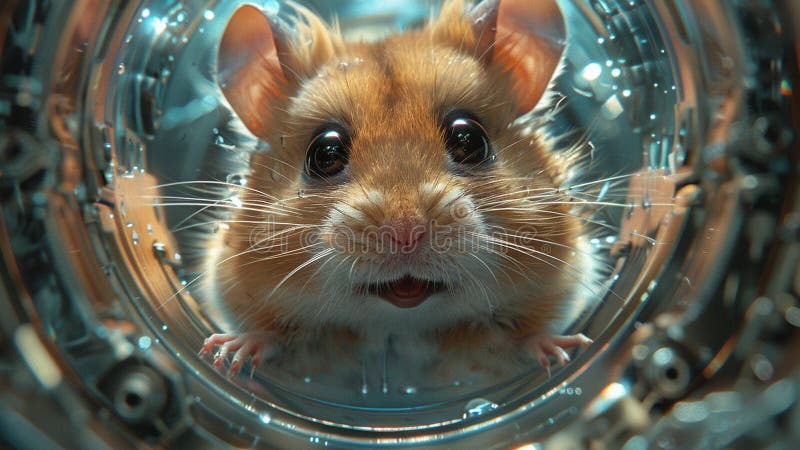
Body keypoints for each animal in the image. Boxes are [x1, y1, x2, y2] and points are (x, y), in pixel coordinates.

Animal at [198, 0, 597, 383]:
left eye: (469, 139)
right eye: (325, 153)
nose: (405, 235)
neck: (398, 327)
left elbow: (528, 335)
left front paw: (569, 349)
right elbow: (267, 335)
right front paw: (223, 353)